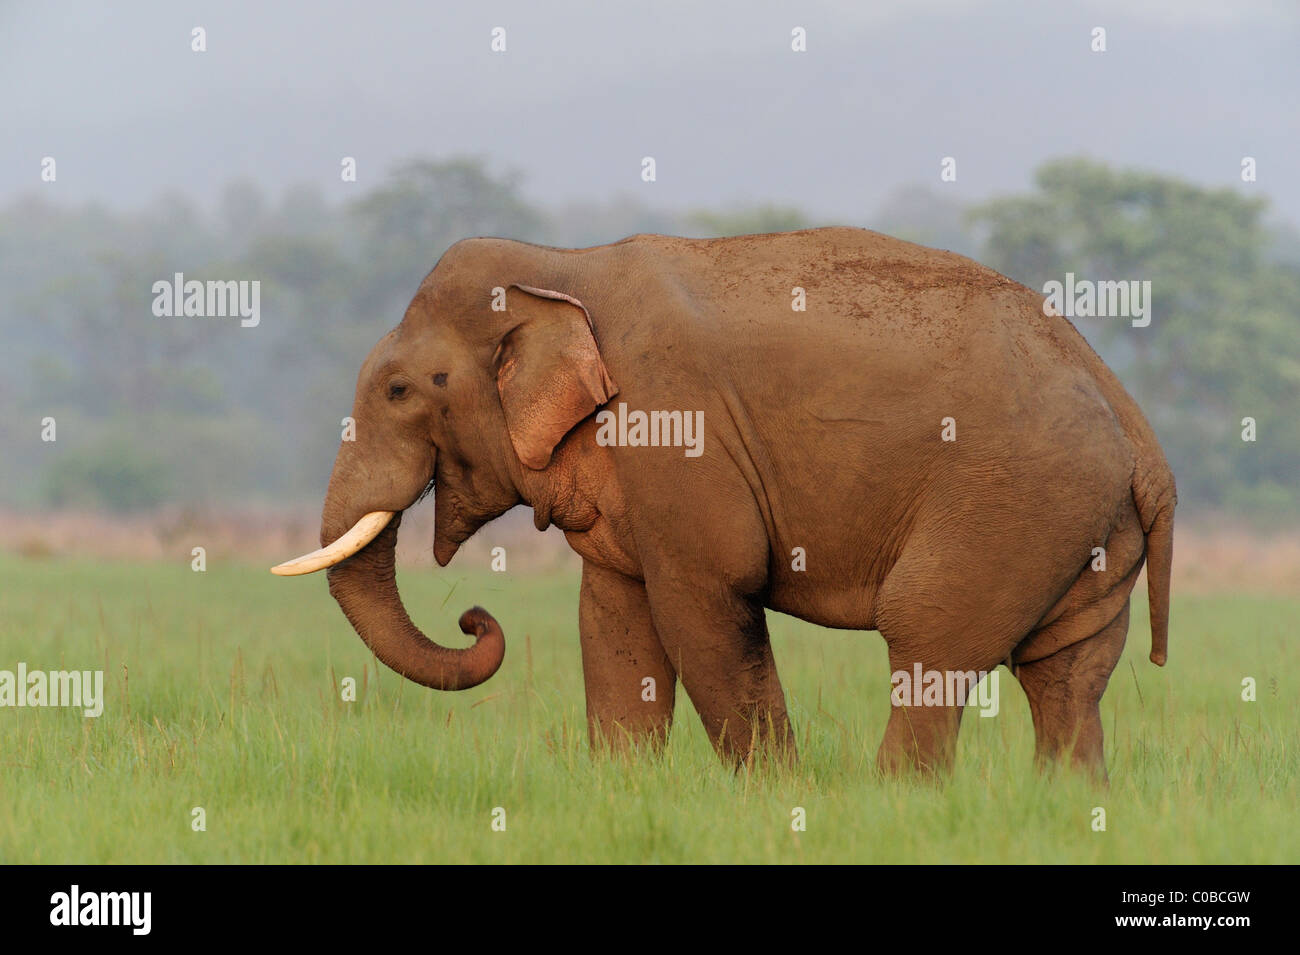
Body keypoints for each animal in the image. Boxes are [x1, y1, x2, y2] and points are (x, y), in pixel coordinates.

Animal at [273, 227, 1175, 778]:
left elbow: (704, 604)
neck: (563, 266)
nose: (474, 617)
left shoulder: (678, 433)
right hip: (1085, 526)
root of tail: (1138, 426)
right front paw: (619, 791)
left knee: (928, 635)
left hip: (1015, 498)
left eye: (398, 389)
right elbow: (614, 620)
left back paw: (896, 799)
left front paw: (778, 798)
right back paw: (1068, 803)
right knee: (1068, 671)